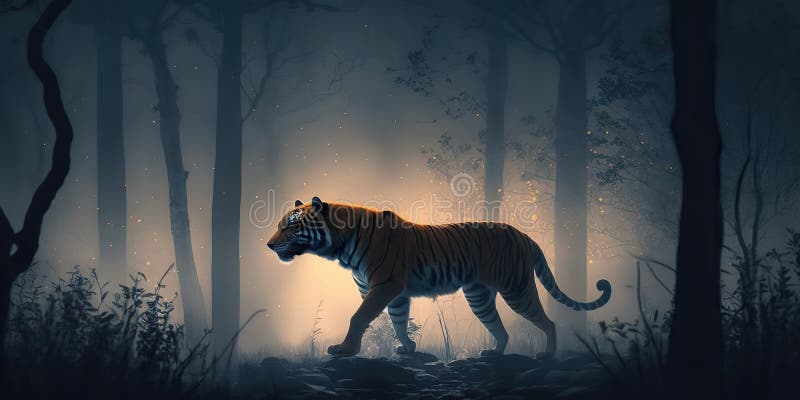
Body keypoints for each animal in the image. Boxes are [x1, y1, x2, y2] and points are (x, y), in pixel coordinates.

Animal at [266, 196, 611, 357]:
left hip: (517, 289)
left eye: (291, 226)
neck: (340, 247)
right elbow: (398, 322)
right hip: (479, 296)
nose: (269, 245)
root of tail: (526, 236)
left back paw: (548, 354)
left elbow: (359, 317)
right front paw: (408, 348)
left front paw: (345, 349)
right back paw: (494, 352)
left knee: (548, 322)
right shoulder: (393, 292)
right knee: (500, 330)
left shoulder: (384, 286)